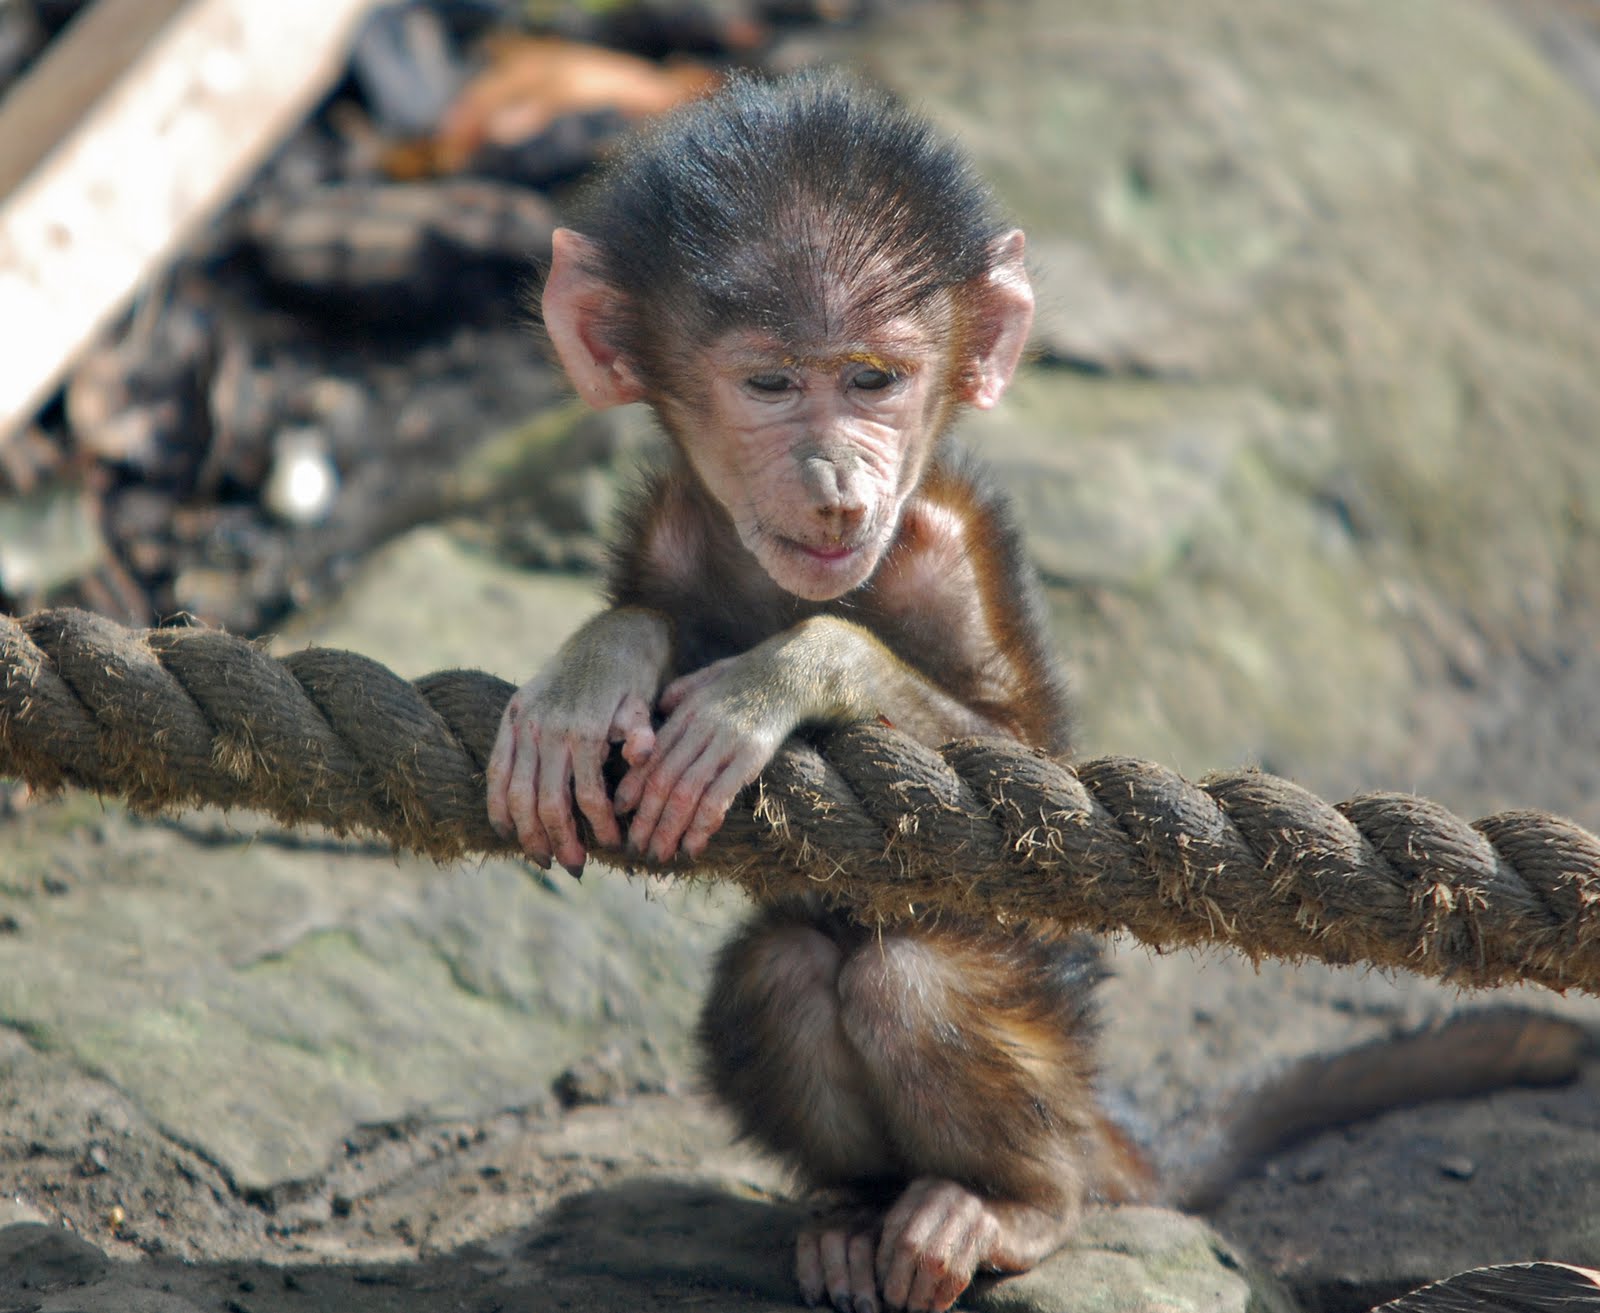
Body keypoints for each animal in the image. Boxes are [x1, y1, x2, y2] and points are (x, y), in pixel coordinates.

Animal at [485, 73, 1586, 1313]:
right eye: (769, 383)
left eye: (873, 380)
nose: (834, 481)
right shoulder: (673, 521)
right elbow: (645, 612)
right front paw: (595, 669)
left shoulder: (950, 551)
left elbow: (1028, 767)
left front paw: (787, 673)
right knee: (785, 970)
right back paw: (853, 1210)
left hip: (1047, 1039)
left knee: (909, 980)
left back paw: (1015, 1203)